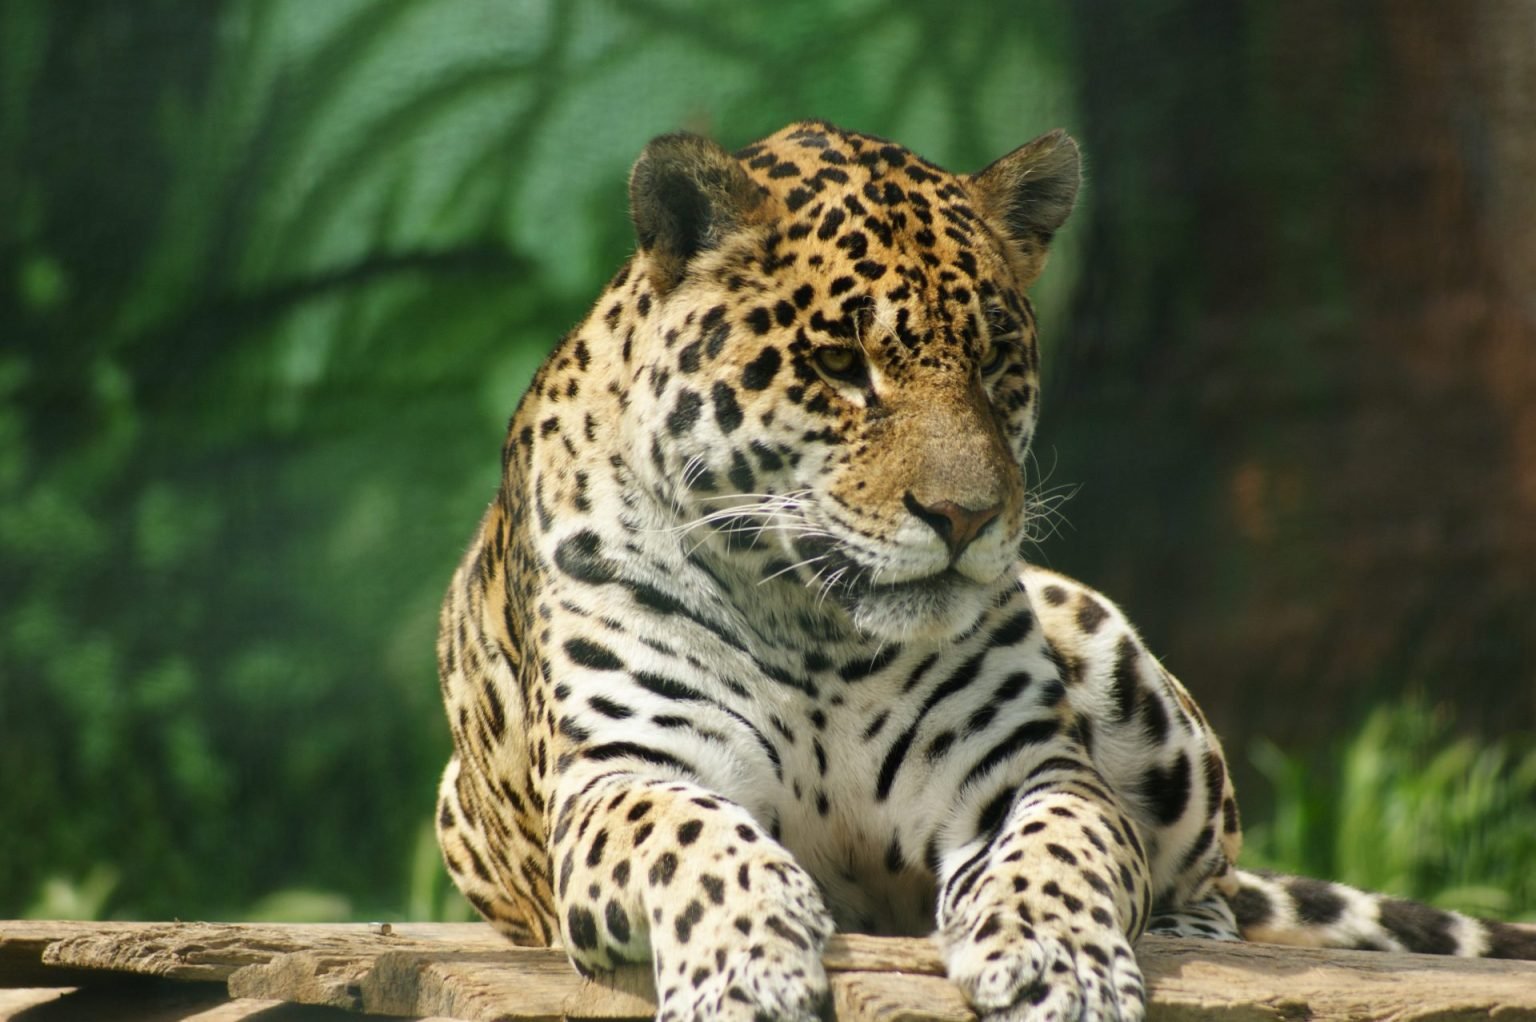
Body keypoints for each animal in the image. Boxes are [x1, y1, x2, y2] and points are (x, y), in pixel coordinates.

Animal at [434, 120, 1535, 1022]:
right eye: (841, 365)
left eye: (996, 358)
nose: (965, 516)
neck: (814, 626)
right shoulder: (625, 772)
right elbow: (694, 842)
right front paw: (749, 968)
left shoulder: (1024, 771)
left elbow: (1061, 847)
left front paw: (1061, 962)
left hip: (1110, 648)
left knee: (1212, 883)